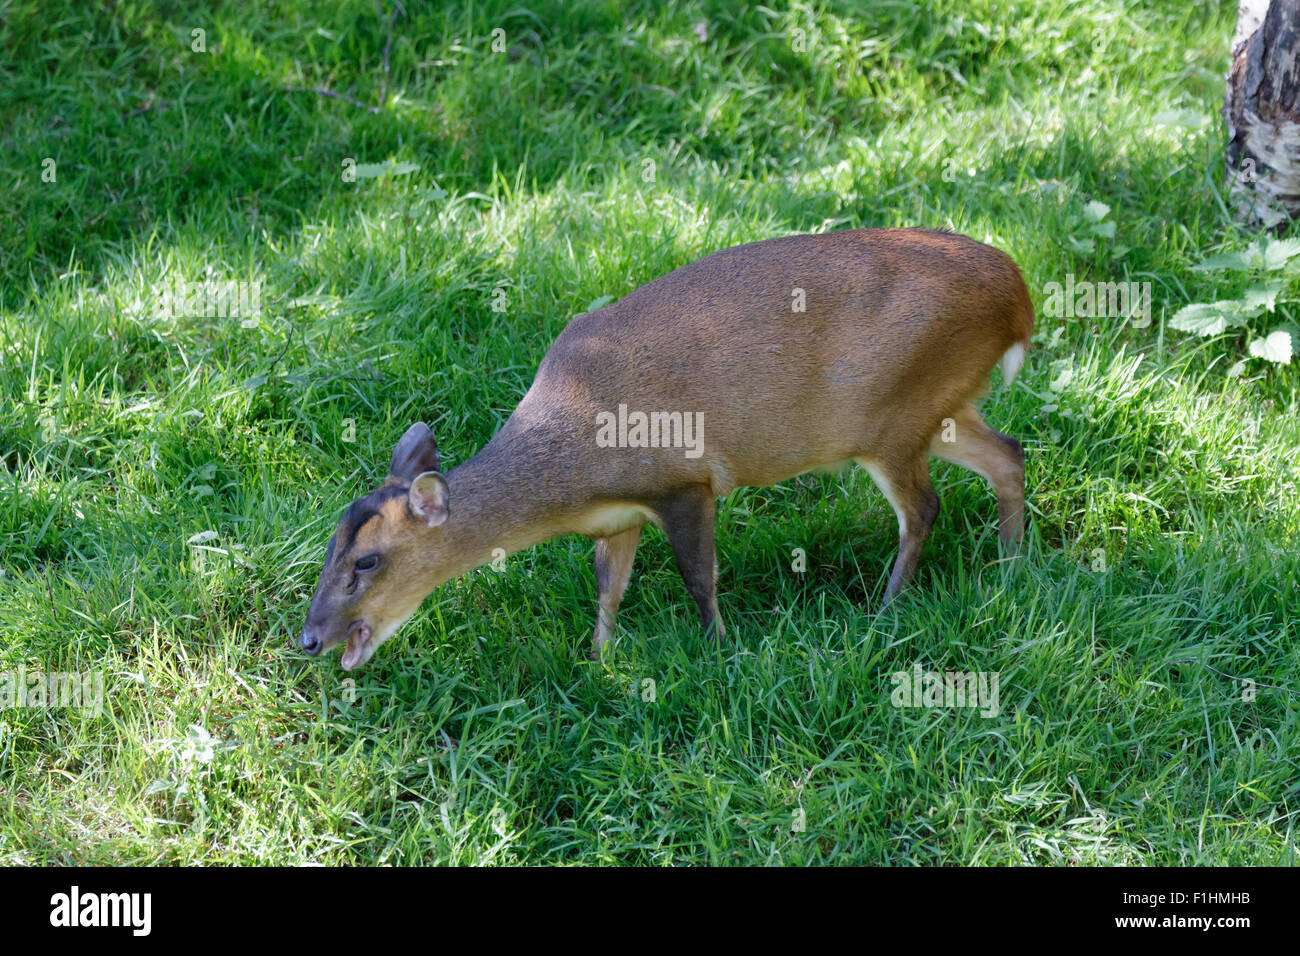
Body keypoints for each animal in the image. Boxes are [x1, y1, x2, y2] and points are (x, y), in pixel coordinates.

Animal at [299, 228, 1033, 671]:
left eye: (367, 561)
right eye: (329, 547)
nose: (308, 638)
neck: (576, 457)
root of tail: (1019, 298)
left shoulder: (683, 479)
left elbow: (698, 577)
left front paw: (717, 652)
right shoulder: (619, 513)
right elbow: (607, 587)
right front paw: (600, 662)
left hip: (892, 415)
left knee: (926, 506)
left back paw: (887, 609)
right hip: (940, 407)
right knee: (1010, 452)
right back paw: (1009, 568)